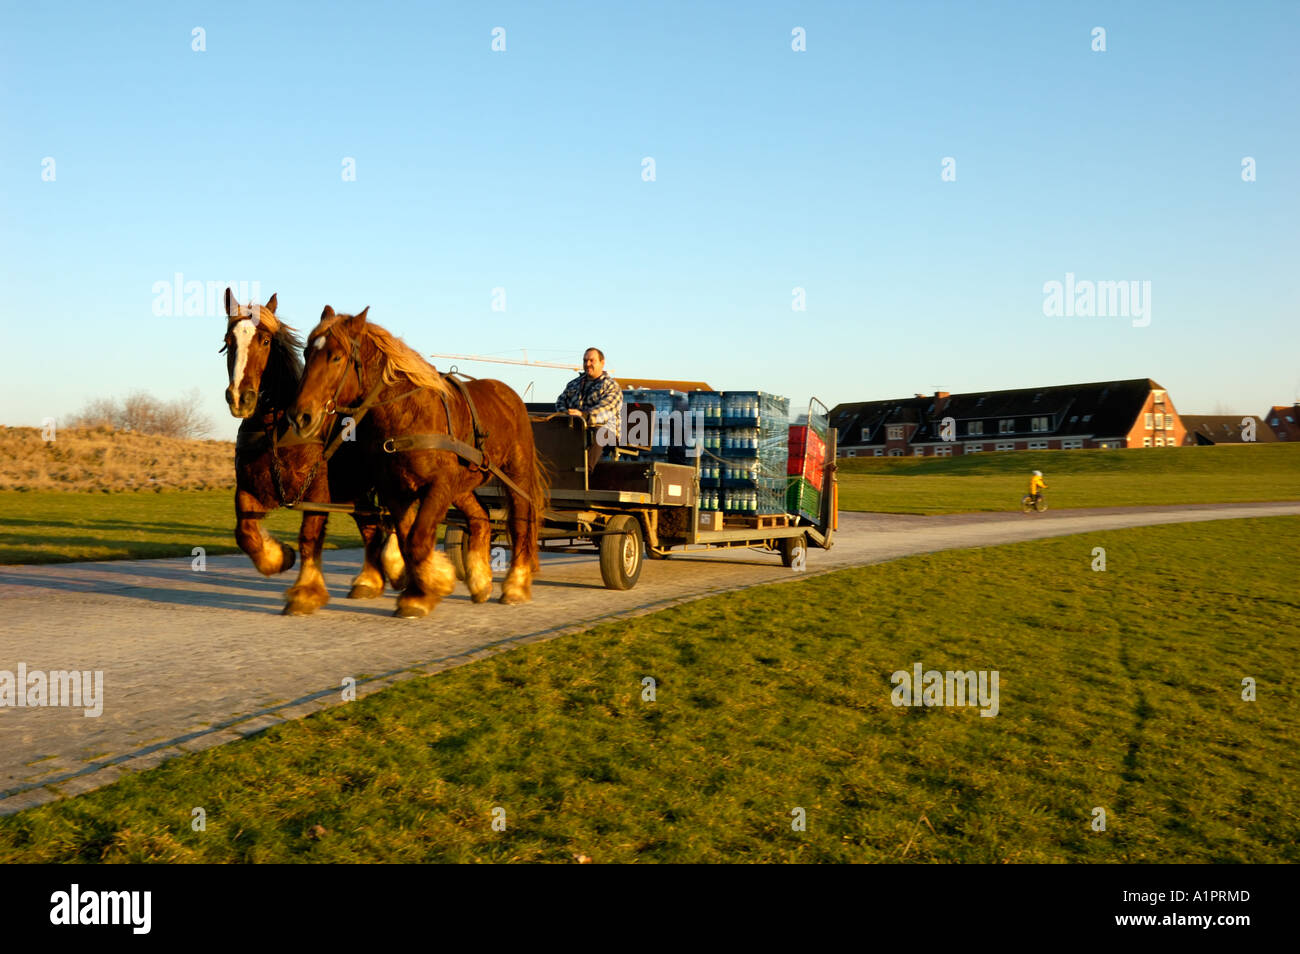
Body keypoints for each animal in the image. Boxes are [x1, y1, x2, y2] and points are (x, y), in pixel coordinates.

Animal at [221, 290, 405, 615]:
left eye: (265, 341)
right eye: (229, 341)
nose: (241, 398)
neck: (276, 430)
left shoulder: (317, 490)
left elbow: (309, 536)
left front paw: (306, 591)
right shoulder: (248, 487)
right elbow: (245, 532)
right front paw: (278, 557)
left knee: (393, 518)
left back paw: (395, 565)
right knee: (371, 525)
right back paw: (369, 580)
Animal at [288, 306, 547, 619]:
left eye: (336, 357)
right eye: (306, 353)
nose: (301, 416)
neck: (407, 415)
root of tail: (509, 395)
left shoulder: (436, 486)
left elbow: (418, 538)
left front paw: (430, 585)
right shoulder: (396, 491)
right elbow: (405, 540)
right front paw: (418, 590)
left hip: (515, 473)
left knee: (521, 522)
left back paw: (516, 585)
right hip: (461, 486)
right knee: (480, 518)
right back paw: (480, 581)